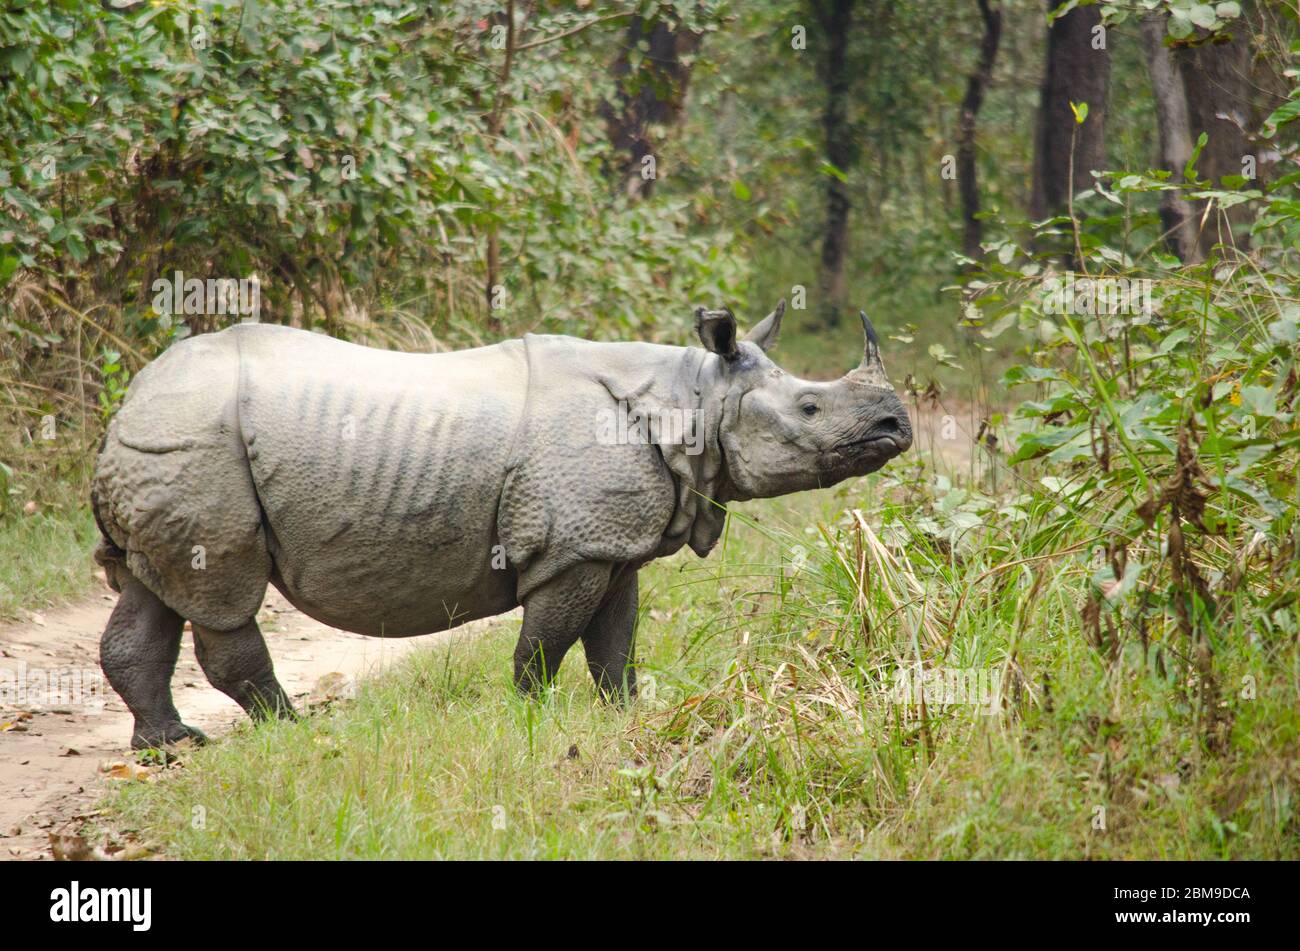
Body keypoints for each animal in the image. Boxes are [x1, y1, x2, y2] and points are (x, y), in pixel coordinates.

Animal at [91, 301, 911, 748]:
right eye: (810, 407)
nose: (898, 425)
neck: (694, 399)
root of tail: (124, 407)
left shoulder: (611, 544)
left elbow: (615, 645)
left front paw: (625, 716)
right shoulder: (573, 549)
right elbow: (546, 644)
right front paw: (530, 719)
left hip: (170, 445)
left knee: (150, 589)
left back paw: (171, 747)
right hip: (197, 445)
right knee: (222, 596)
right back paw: (289, 731)